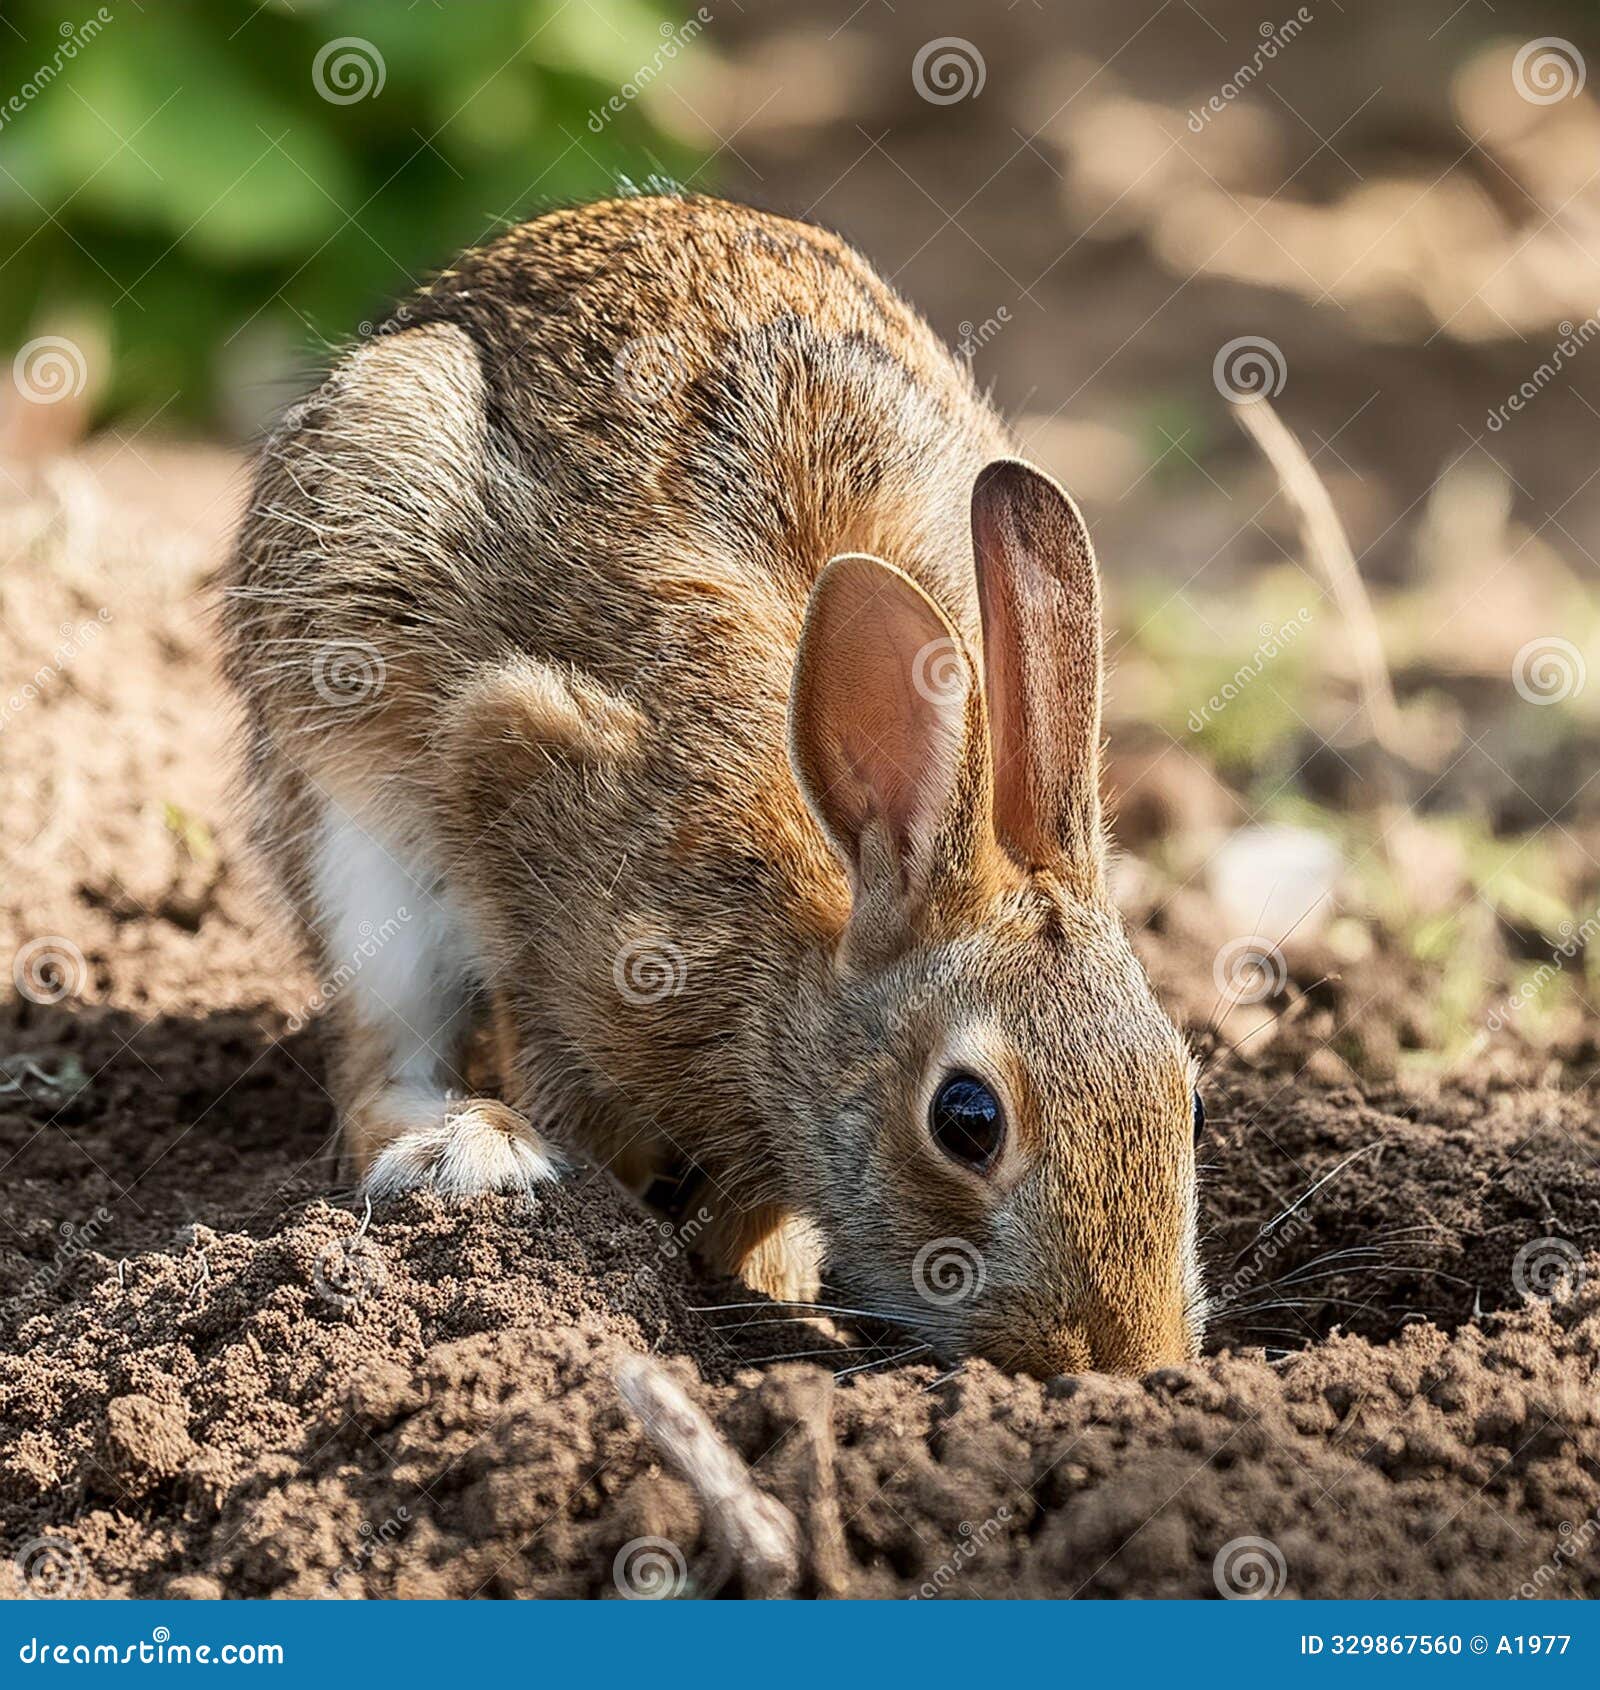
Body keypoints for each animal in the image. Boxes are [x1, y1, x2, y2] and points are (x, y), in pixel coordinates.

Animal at [221, 193, 1204, 1378]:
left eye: (1190, 1098)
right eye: (967, 1120)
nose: (1130, 1363)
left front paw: (761, 1280)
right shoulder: (516, 790)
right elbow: (556, 1058)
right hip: (344, 801)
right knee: (379, 1042)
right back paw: (462, 1150)